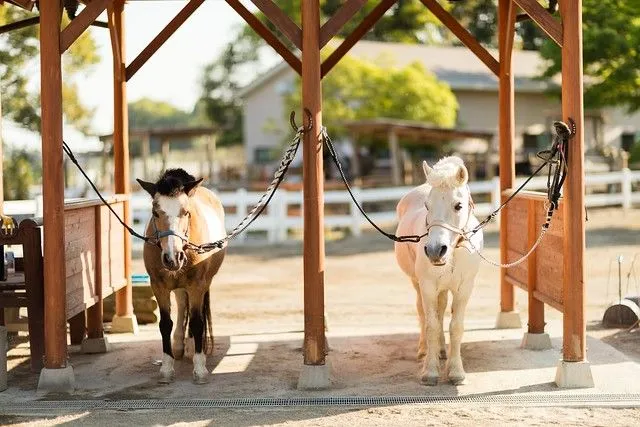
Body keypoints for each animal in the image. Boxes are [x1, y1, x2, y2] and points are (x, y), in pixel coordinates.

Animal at [136, 170, 226, 384]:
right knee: (182, 303)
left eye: (186, 212)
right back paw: (178, 345)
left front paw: (200, 369)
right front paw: (167, 368)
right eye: (155, 213)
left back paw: (193, 346)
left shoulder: (197, 285)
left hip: (203, 283)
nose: (172, 258)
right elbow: (165, 324)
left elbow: (197, 322)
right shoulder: (158, 286)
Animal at [392, 155, 482, 386]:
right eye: (427, 205)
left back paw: (442, 351)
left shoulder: (464, 289)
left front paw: (456, 372)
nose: (434, 250)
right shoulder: (428, 287)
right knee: (424, 314)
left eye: (458, 205)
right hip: (417, 284)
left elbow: (455, 327)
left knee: (441, 312)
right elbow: (431, 325)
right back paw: (425, 350)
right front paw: (430, 371)